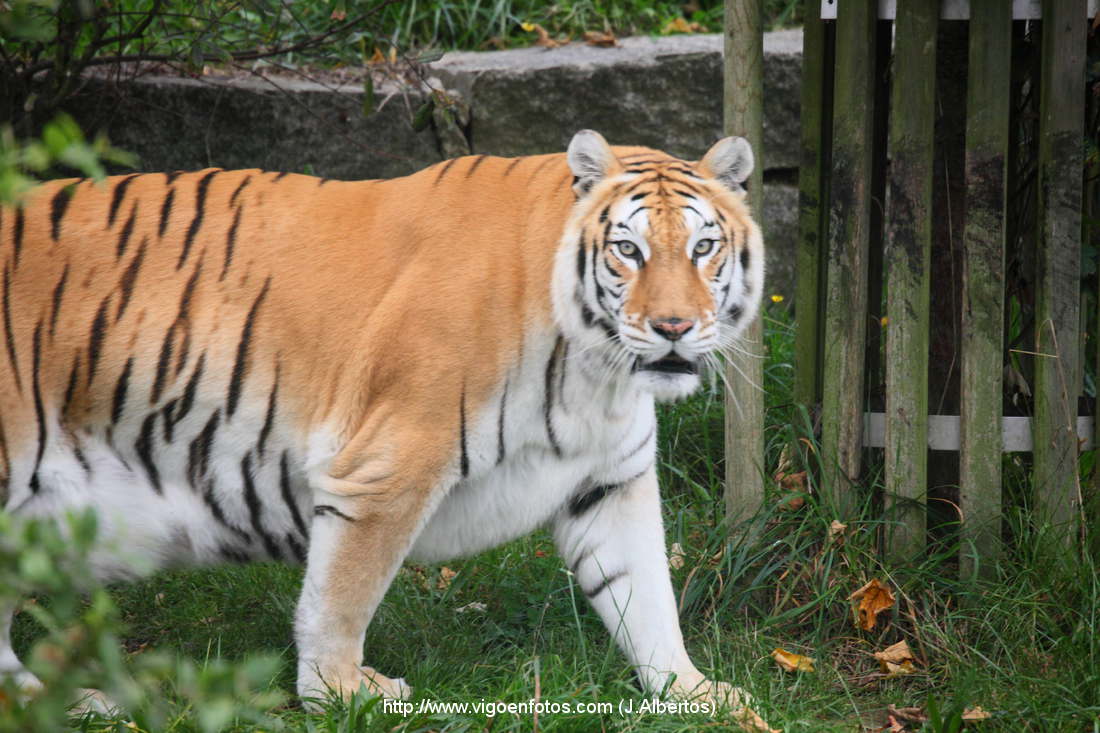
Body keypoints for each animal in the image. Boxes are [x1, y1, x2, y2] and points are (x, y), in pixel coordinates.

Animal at [0, 129, 764, 714]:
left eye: (701, 248)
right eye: (628, 250)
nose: (673, 327)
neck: (596, 373)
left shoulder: (610, 482)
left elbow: (647, 597)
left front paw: (695, 694)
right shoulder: (390, 465)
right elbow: (344, 592)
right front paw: (338, 692)